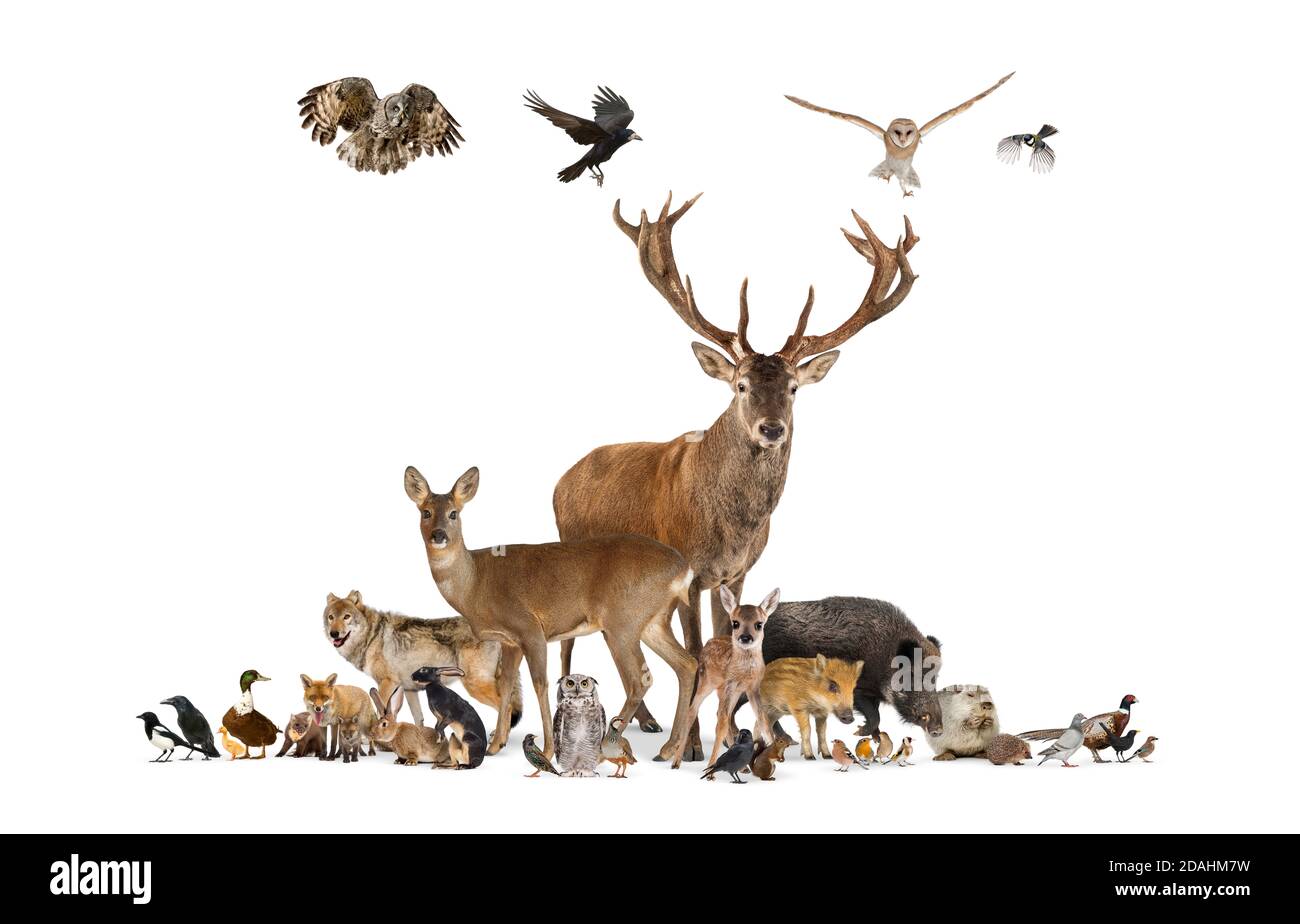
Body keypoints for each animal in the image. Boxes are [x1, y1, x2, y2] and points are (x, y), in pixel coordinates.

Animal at [404, 464, 699, 762]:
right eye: (426, 512)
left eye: (454, 513)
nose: (439, 535)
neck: (476, 583)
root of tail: (683, 569)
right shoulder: (510, 641)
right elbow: (506, 684)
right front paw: (495, 745)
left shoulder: (530, 628)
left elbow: (540, 683)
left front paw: (546, 749)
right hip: (653, 622)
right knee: (687, 664)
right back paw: (668, 749)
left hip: (622, 623)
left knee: (640, 679)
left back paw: (610, 744)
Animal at [670, 584, 778, 770]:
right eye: (735, 623)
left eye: (759, 624)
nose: (745, 638)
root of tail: (708, 643)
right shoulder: (731, 685)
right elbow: (721, 724)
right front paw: (711, 767)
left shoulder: (752, 688)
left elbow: (762, 720)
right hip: (707, 682)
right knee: (693, 711)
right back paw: (676, 762)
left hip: (725, 691)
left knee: (722, 714)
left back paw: (743, 768)